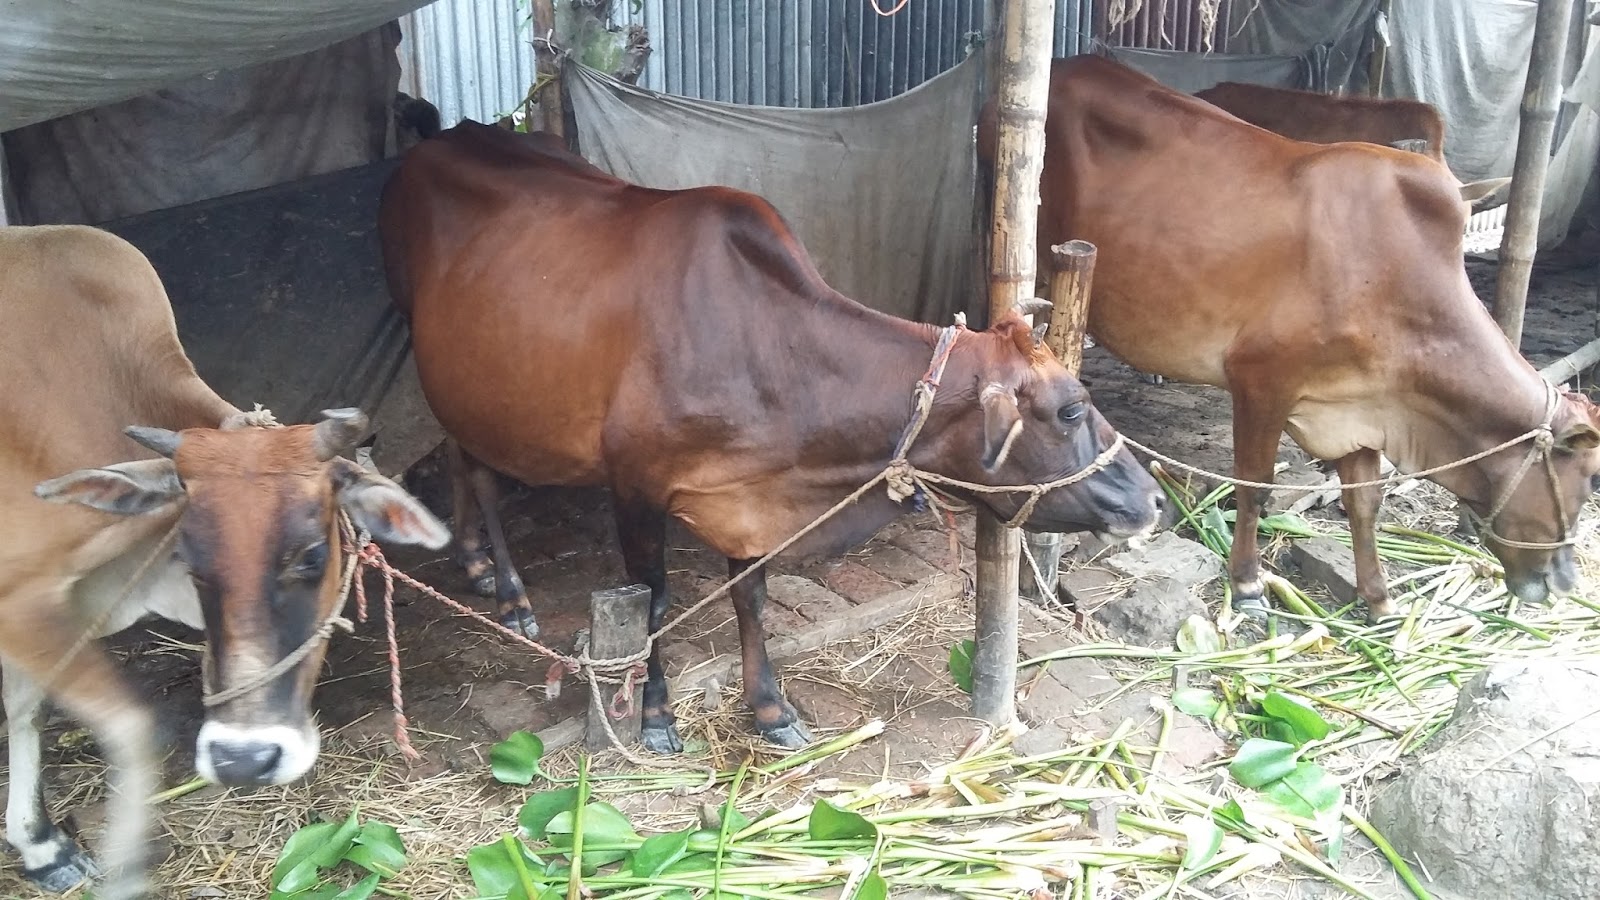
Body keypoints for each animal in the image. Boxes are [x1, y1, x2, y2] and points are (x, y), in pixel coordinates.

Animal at [0, 225, 449, 899]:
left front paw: (39, 845)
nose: (244, 759)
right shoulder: (23, 600)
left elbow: (26, 707)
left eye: (313, 553)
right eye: (188, 555)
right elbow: (129, 726)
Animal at [377, 121, 1165, 754]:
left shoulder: (749, 498)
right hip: (446, 364)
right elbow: (653, 600)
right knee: (474, 468)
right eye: (1071, 410)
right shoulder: (633, 486)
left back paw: (475, 561)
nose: (1154, 500)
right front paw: (656, 715)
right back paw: (509, 590)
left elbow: (751, 598)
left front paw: (770, 708)